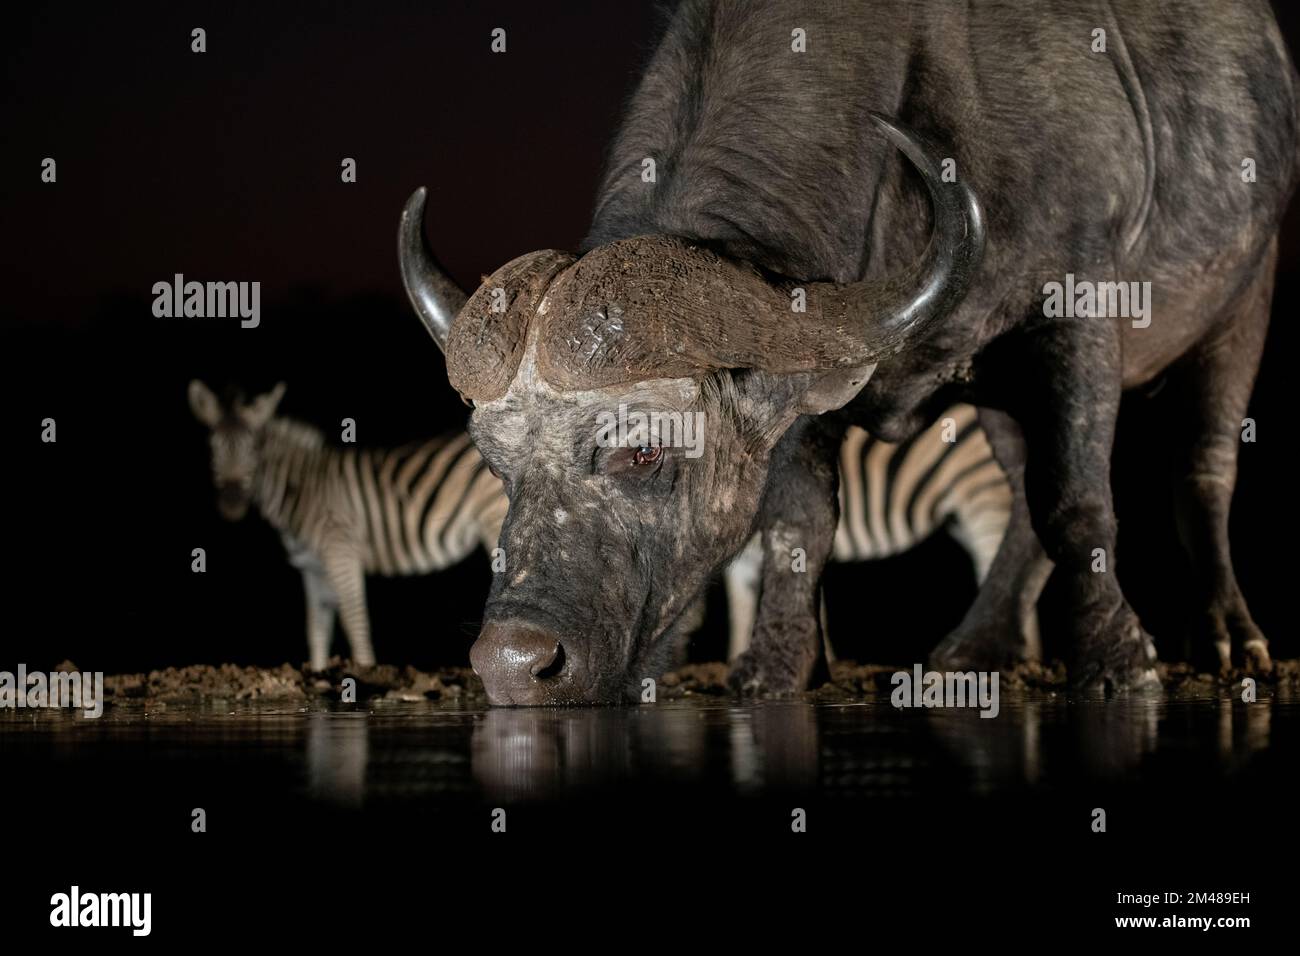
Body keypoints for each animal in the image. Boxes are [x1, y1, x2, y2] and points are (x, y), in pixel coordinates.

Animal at [187, 380, 507, 670]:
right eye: (212, 447)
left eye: (254, 448)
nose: (231, 504)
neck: (302, 488)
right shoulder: (312, 568)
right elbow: (316, 630)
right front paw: (318, 676)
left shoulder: (341, 553)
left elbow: (355, 622)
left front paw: (365, 675)